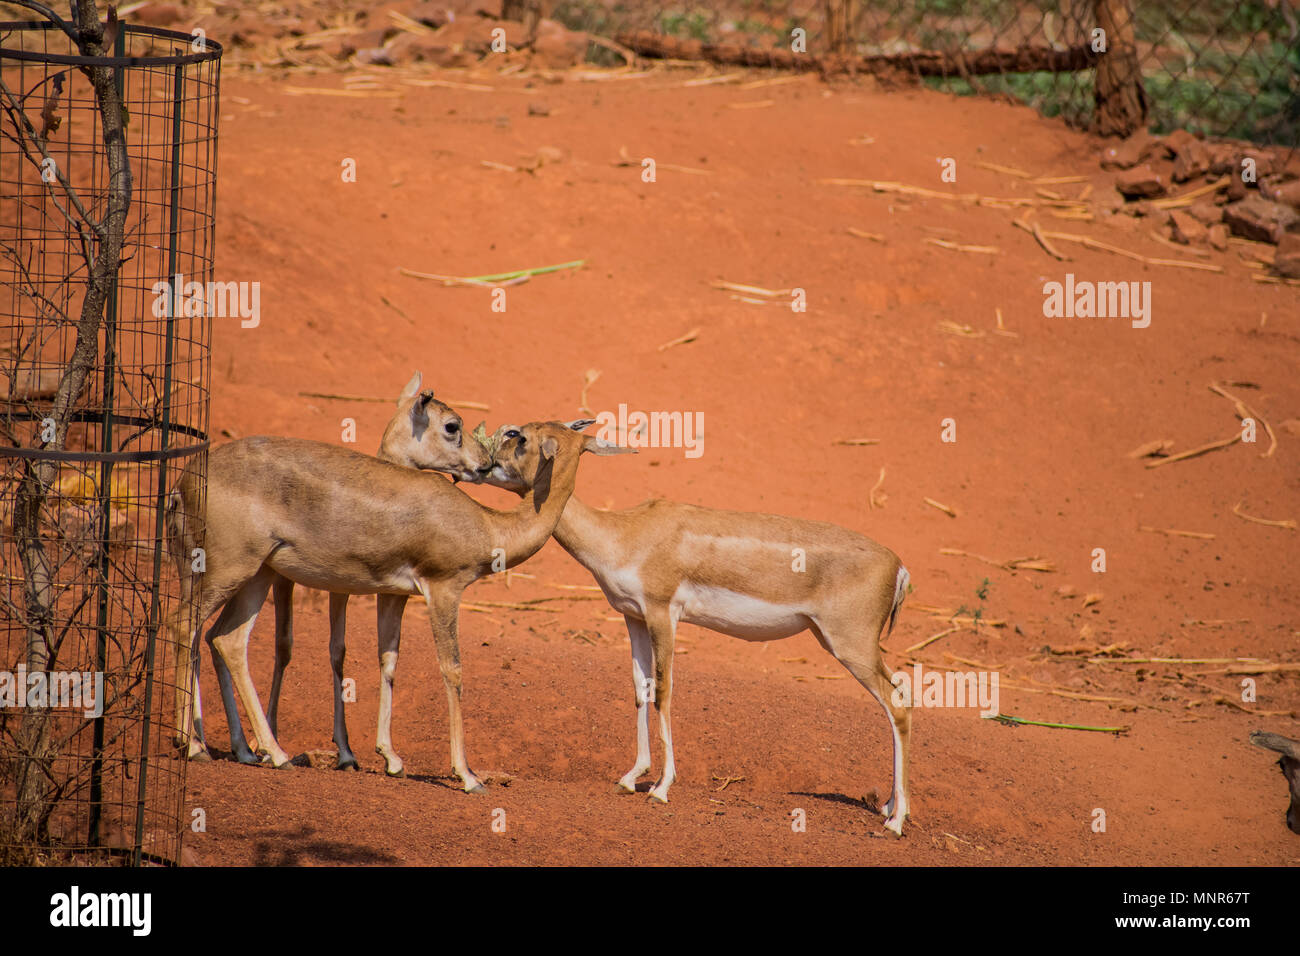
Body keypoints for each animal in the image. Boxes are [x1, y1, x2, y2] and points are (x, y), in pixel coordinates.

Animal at [168, 411, 630, 792]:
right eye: (521, 435)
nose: (487, 465)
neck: (486, 525)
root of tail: (184, 482)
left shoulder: (395, 594)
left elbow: (388, 658)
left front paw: (391, 760)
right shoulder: (444, 589)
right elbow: (452, 670)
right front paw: (468, 776)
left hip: (254, 577)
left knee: (223, 640)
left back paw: (249, 750)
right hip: (229, 571)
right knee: (186, 627)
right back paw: (212, 748)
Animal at [483, 422, 913, 835]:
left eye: (521, 438)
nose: (485, 463)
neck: (624, 533)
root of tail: (899, 567)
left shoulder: (663, 615)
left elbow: (664, 692)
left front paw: (660, 788)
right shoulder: (633, 616)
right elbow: (640, 689)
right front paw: (631, 777)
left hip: (850, 646)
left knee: (897, 705)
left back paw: (895, 823)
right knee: (899, 697)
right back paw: (888, 807)